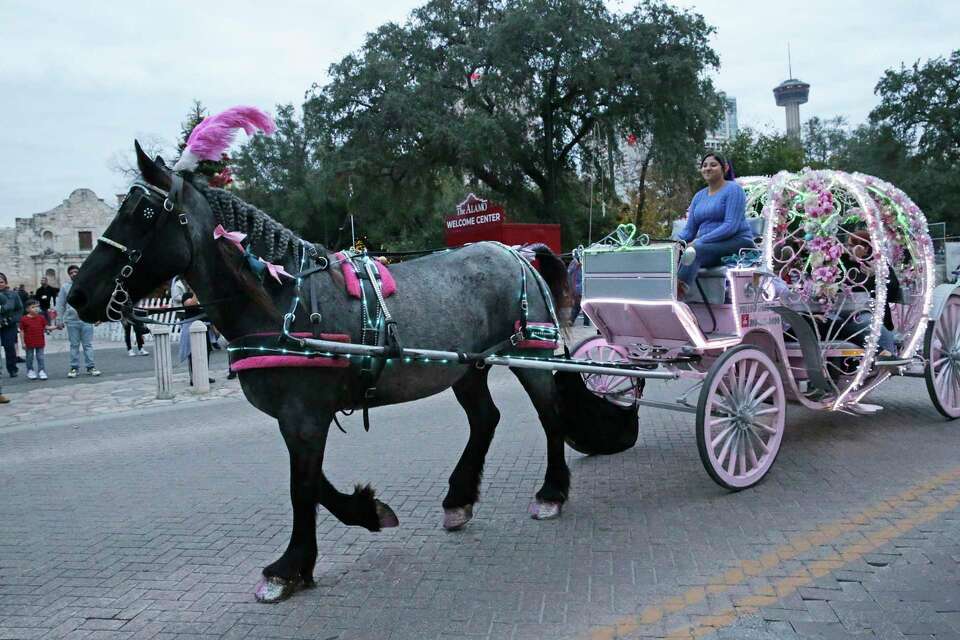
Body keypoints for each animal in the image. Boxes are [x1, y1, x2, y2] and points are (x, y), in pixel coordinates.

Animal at [68, 142, 586, 603]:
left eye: (142, 214)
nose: (77, 295)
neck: (280, 300)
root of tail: (516, 250)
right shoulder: (300, 418)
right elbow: (313, 482)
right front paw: (367, 512)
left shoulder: (303, 416)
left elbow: (301, 487)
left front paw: (289, 568)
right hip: (468, 367)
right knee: (484, 420)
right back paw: (458, 500)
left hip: (529, 356)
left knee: (550, 416)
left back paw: (551, 492)